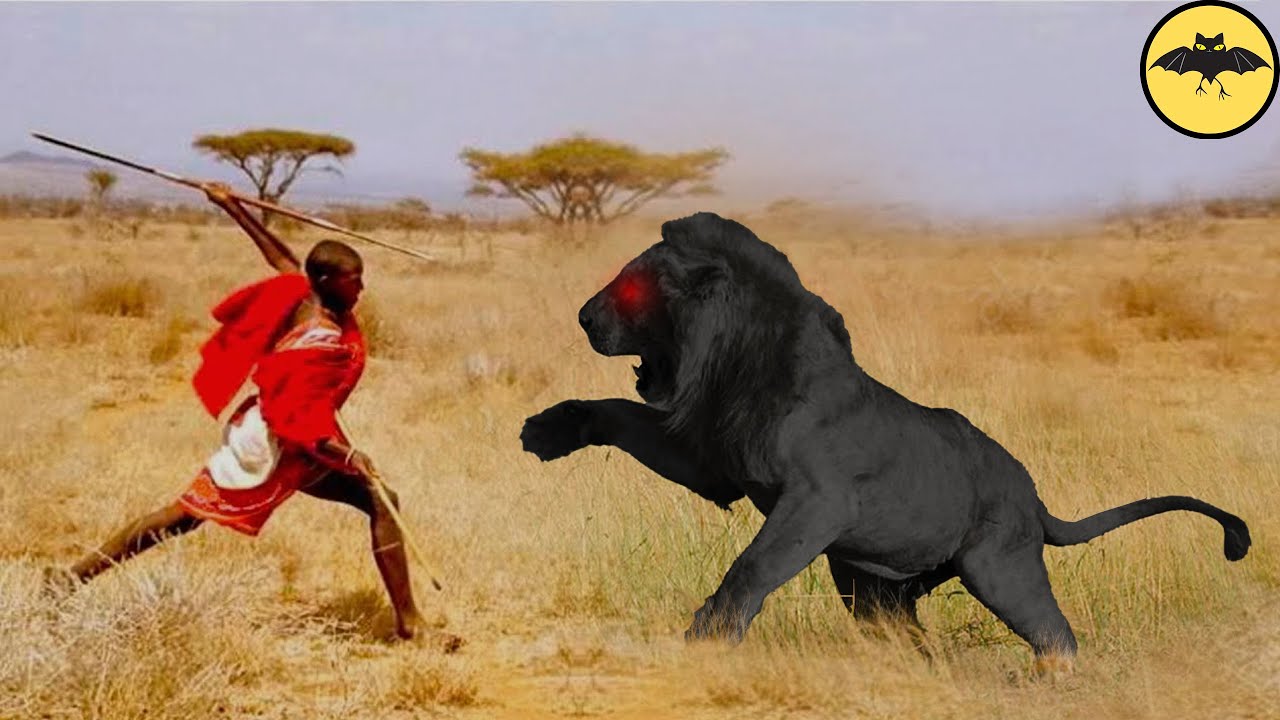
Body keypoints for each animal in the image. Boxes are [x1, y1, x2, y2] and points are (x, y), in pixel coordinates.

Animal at [519, 211, 1251, 664]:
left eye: (633, 284)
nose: (584, 317)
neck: (735, 361)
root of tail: (1035, 498)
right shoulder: (714, 465)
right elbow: (617, 411)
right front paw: (548, 429)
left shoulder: (817, 502)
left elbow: (752, 566)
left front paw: (706, 640)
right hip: (875, 591)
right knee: (913, 643)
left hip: (999, 567)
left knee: (1056, 634)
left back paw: (1055, 680)